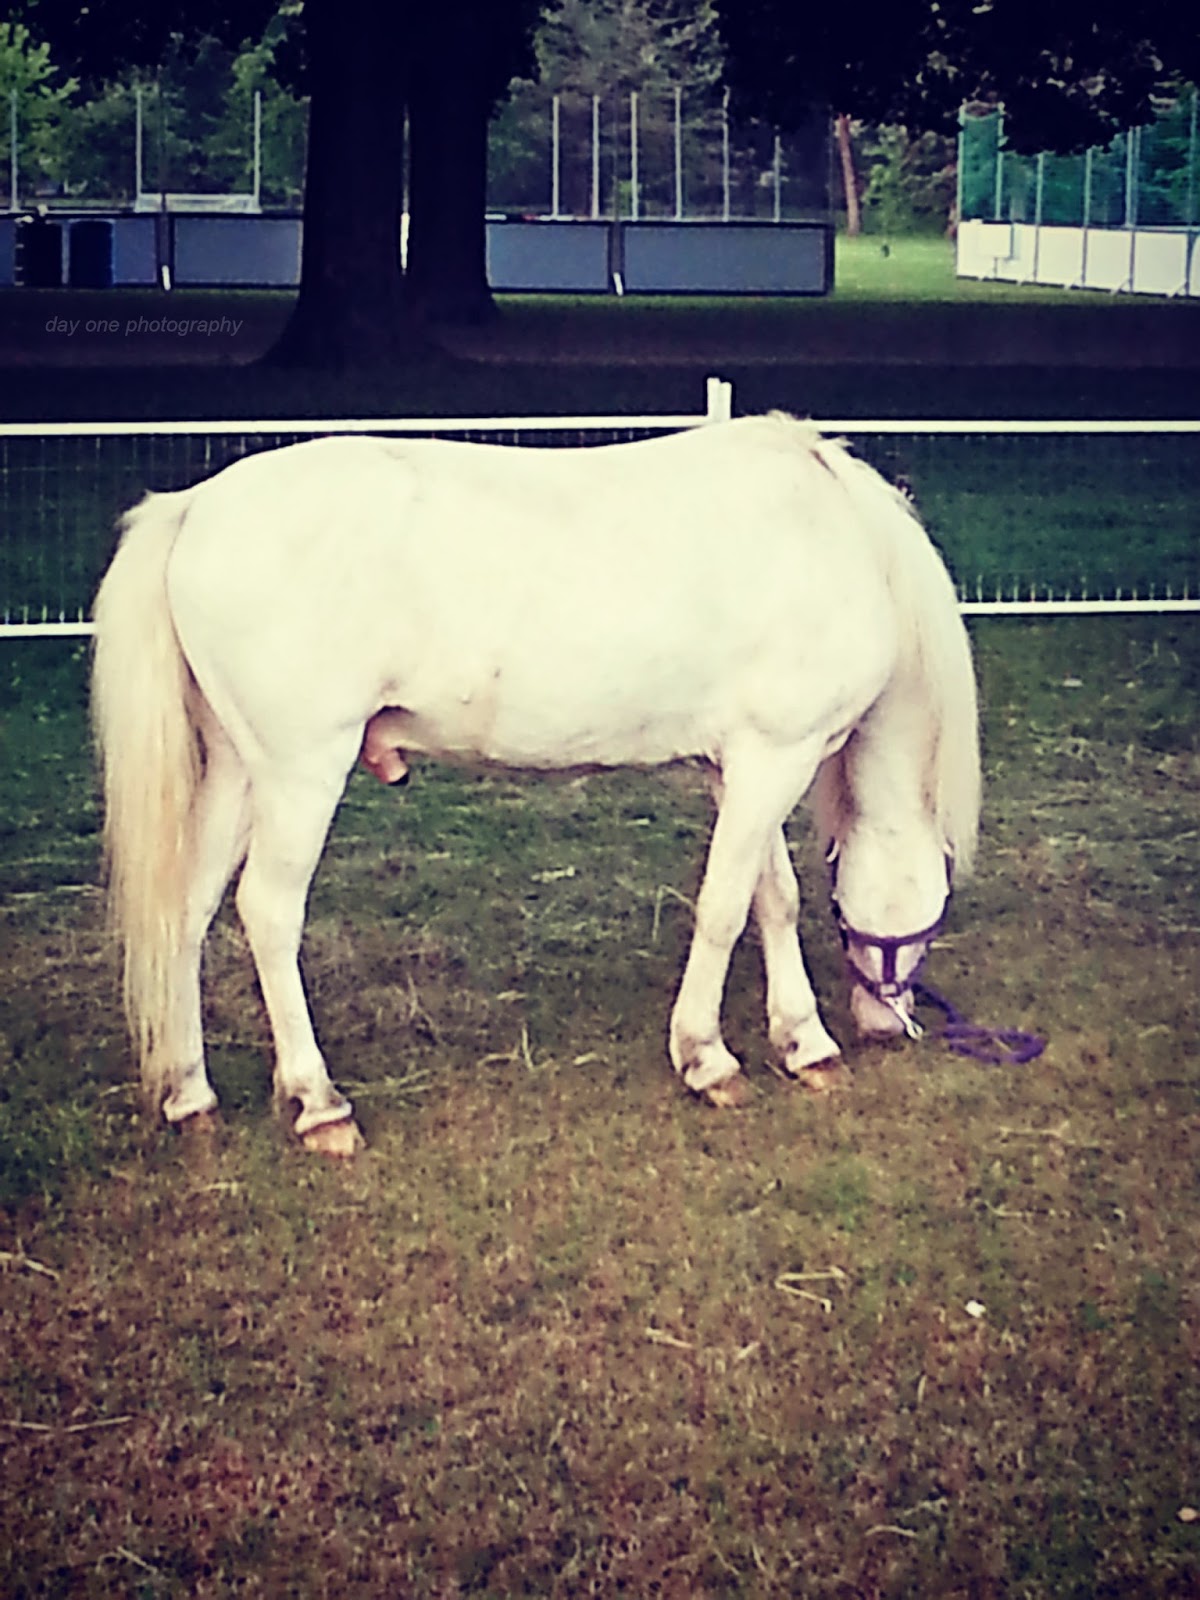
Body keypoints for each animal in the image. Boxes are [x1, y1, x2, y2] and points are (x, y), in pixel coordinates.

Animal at [91, 414, 980, 1156]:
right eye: (935, 913)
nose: (888, 1020)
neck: (831, 537)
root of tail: (193, 509)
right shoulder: (775, 757)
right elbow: (727, 910)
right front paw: (708, 1056)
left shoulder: (742, 766)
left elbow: (772, 900)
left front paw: (803, 1042)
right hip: (299, 771)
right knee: (268, 913)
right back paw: (318, 1104)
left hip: (240, 772)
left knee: (187, 910)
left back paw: (190, 1093)